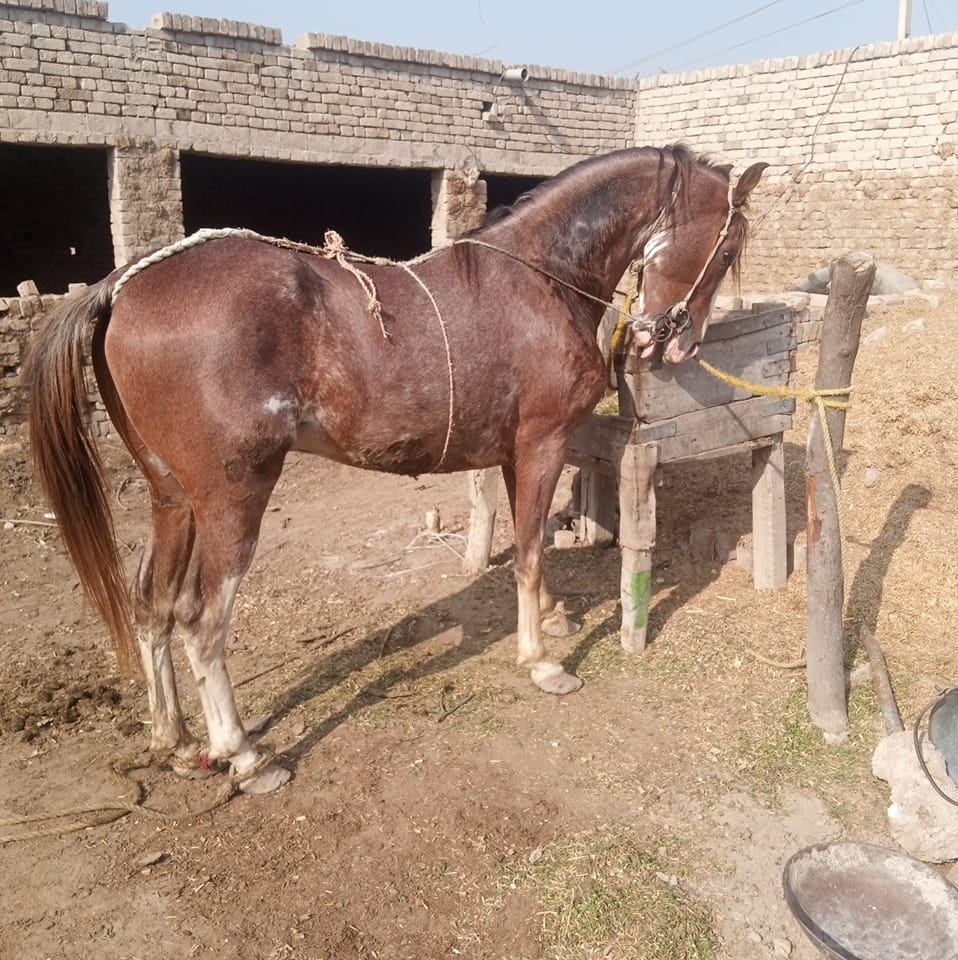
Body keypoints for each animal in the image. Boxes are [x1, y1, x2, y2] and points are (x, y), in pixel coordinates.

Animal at [25, 144, 767, 794]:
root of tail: (123, 287)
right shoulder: (542, 444)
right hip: (231, 499)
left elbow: (529, 546)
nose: (675, 343)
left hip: (171, 499)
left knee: (153, 606)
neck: (537, 277)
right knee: (202, 625)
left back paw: (175, 740)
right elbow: (528, 550)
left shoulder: (514, 453)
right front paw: (540, 662)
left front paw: (552, 616)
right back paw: (242, 756)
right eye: (728, 247)